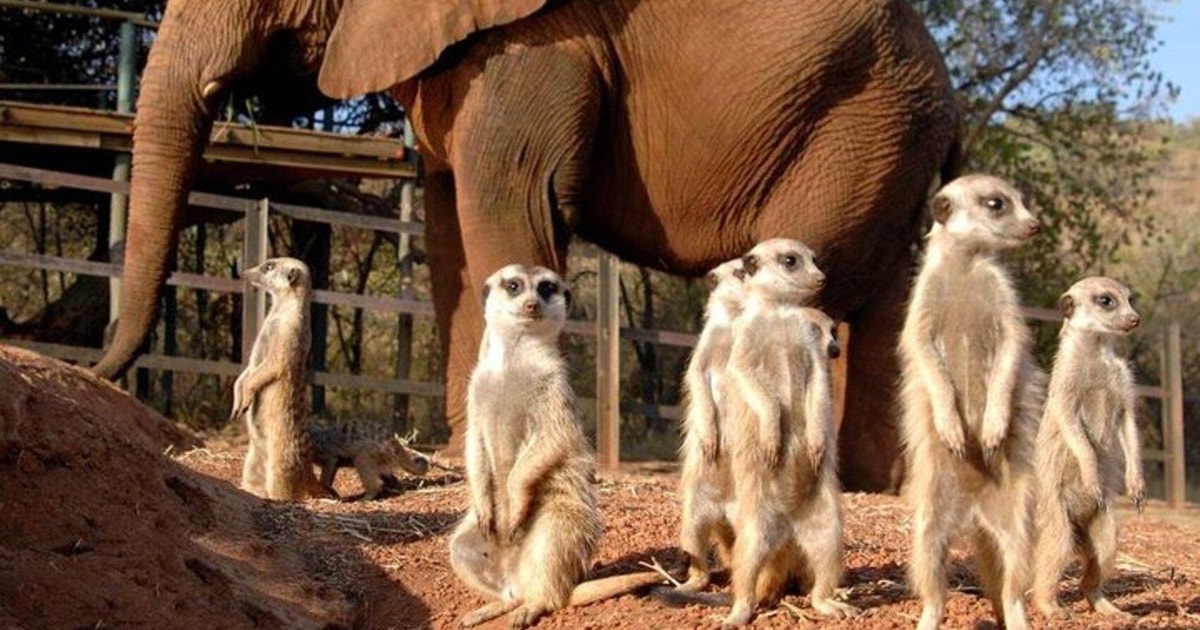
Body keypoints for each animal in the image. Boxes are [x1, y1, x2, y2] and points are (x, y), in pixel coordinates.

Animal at [93, 0, 959, 491]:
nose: (96, 370)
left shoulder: (539, 51)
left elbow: (508, 206)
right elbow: (449, 234)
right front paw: (460, 446)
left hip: (857, 127)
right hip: (883, 138)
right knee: (872, 302)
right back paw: (871, 485)